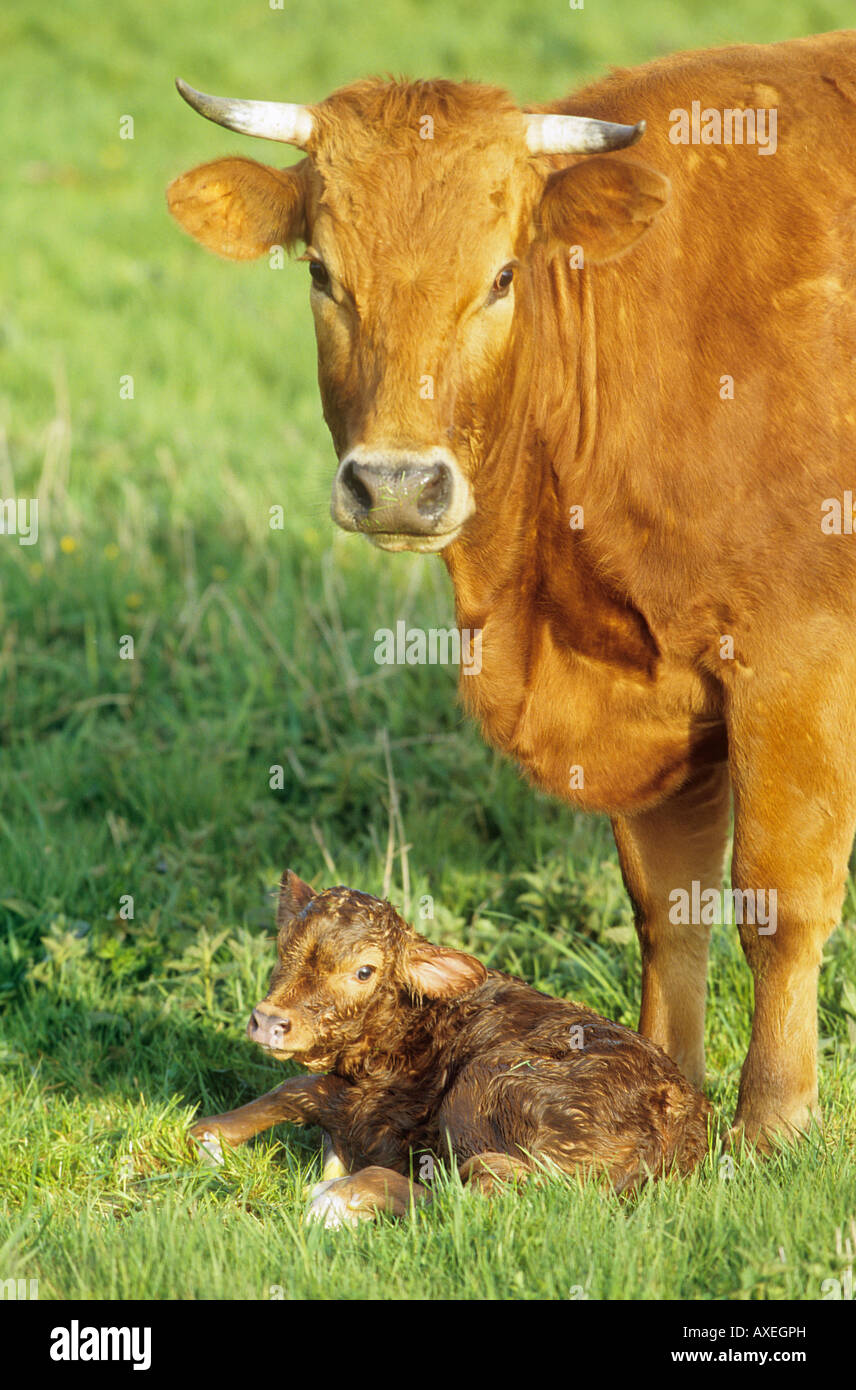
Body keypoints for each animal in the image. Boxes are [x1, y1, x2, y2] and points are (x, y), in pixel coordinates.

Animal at [168, 30, 856, 1149]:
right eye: (320, 271)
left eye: (500, 276)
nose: (396, 484)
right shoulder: (654, 688)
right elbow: (667, 905)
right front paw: (664, 1080)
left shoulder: (795, 660)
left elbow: (778, 901)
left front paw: (773, 1123)